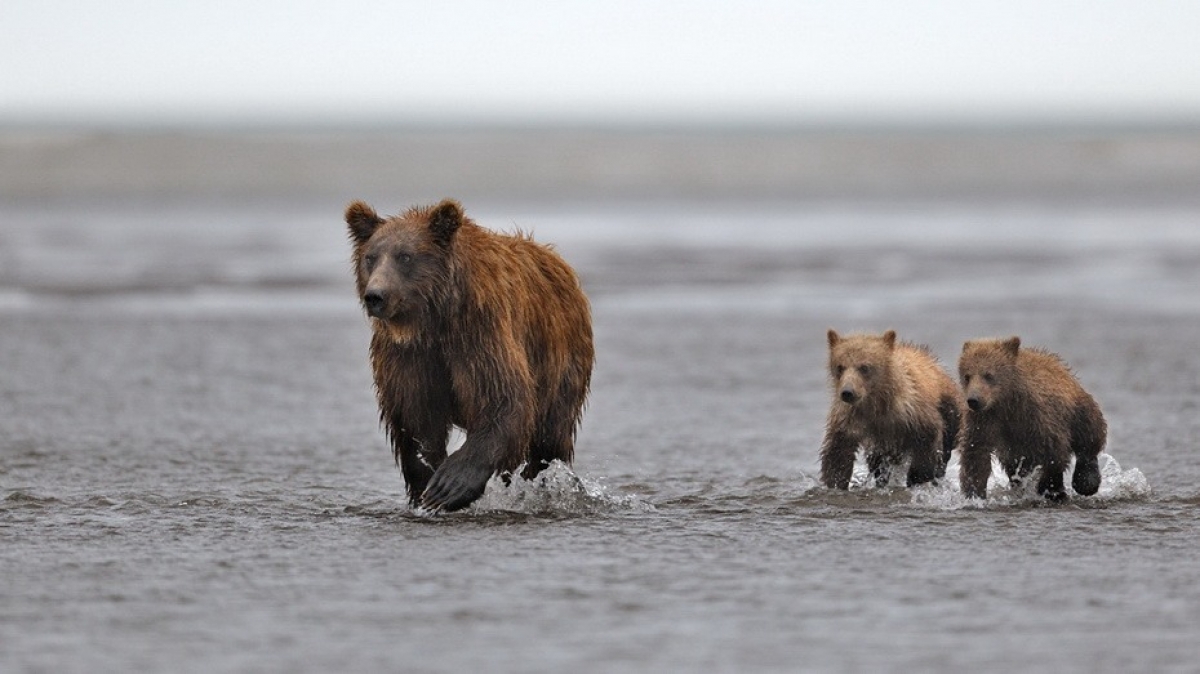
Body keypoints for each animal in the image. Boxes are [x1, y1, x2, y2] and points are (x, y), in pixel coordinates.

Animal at [345, 197, 592, 508]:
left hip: (561, 358)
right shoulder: (408, 356)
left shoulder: (479, 333)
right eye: (371, 257)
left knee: (550, 438)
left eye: (405, 257)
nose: (376, 296)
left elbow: (505, 399)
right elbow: (414, 420)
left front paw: (449, 485)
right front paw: (426, 484)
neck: (434, 320)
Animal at [820, 328, 960, 484]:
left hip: (949, 409)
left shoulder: (913, 412)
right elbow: (838, 452)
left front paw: (918, 477)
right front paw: (834, 481)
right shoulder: (849, 418)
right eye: (840, 367)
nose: (847, 392)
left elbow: (927, 441)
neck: (875, 402)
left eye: (864, 367)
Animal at [955, 335, 1104, 498]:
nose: (974, 400)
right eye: (967, 376)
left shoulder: (1038, 415)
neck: (1006, 402)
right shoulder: (985, 419)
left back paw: (1086, 482)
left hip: (1079, 410)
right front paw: (973, 492)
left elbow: (1054, 451)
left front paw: (1049, 487)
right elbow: (976, 453)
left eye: (988, 375)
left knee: (1089, 440)